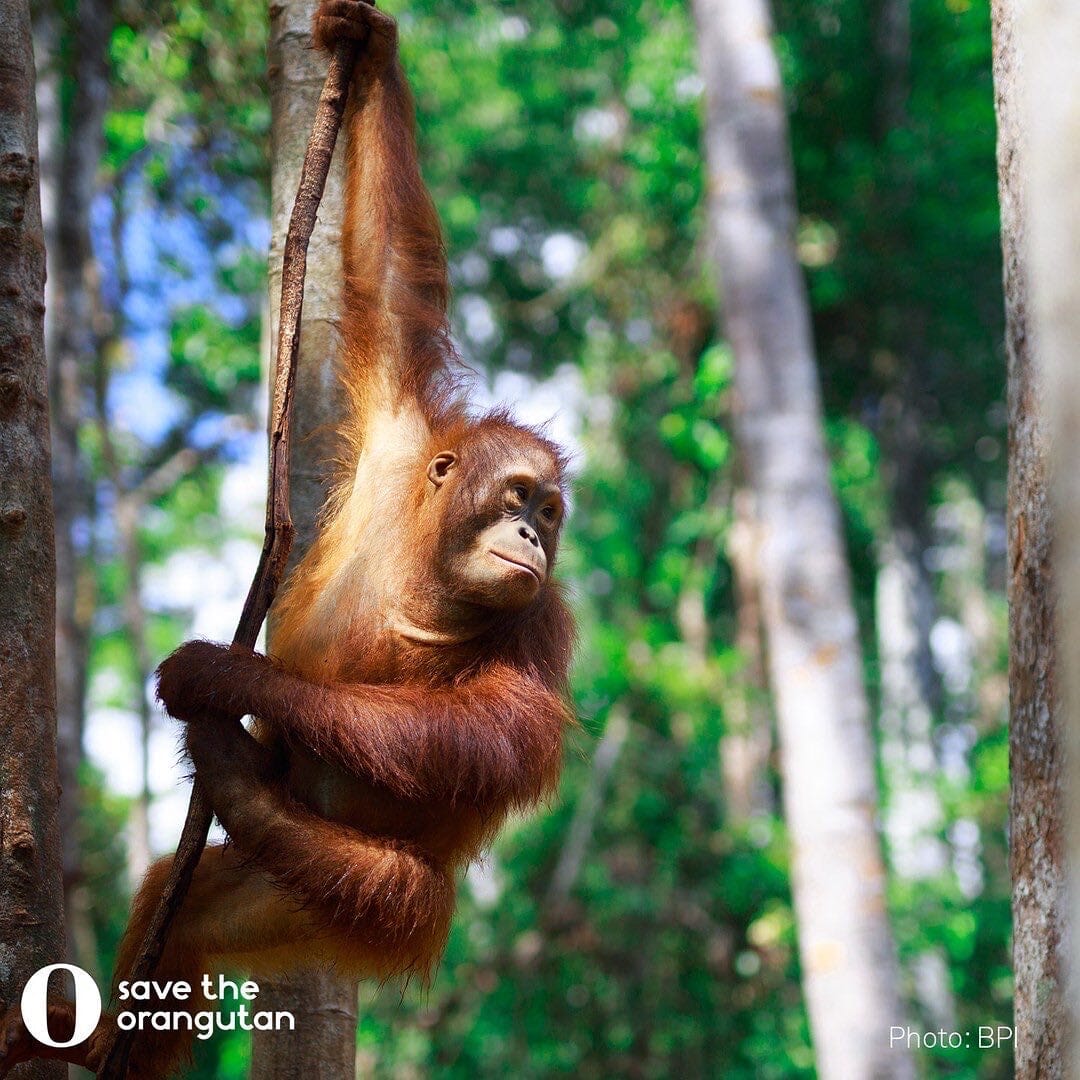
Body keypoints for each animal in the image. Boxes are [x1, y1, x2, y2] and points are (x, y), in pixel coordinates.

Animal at [0, 2, 574, 1075]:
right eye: (520, 494)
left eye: (550, 516)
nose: (529, 531)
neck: (431, 561)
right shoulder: (402, 435)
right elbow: (391, 278)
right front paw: (369, 43)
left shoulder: (544, 622)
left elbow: (495, 729)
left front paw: (229, 678)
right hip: (261, 902)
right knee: (180, 919)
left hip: (336, 912)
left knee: (399, 888)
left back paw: (235, 775)